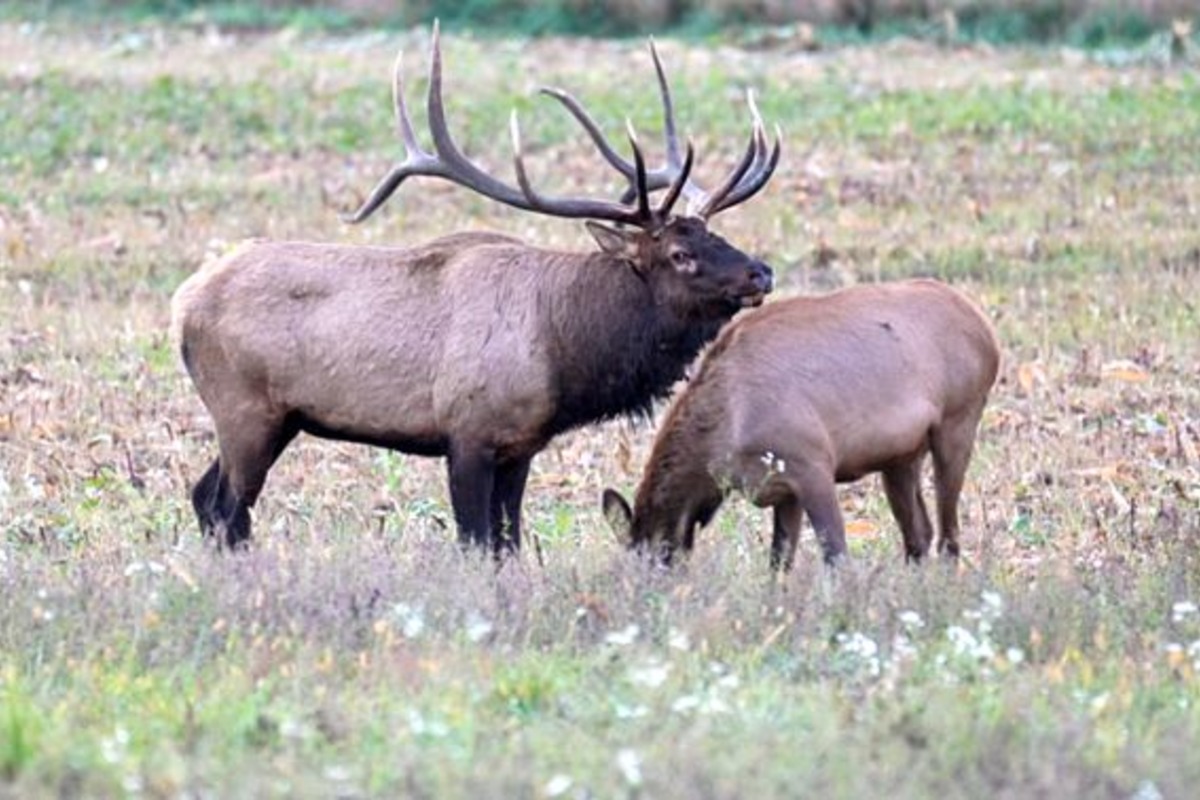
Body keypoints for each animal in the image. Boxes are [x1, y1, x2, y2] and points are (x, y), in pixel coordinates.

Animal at [171, 25, 781, 555]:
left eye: (716, 234)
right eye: (679, 255)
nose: (761, 272)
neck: (562, 352)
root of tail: (182, 301)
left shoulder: (520, 447)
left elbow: (507, 544)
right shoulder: (467, 433)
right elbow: (475, 541)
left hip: (279, 418)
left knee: (205, 498)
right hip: (243, 407)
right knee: (228, 507)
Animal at [602, 279, 1000, 569]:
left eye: (655, 560)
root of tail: (984, 326)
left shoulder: (812, 465)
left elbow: (837, 557)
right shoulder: (783, 490)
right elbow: (779, 563)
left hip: (958, 421)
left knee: (949, 535)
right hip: (900, 456)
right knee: (919, 534)